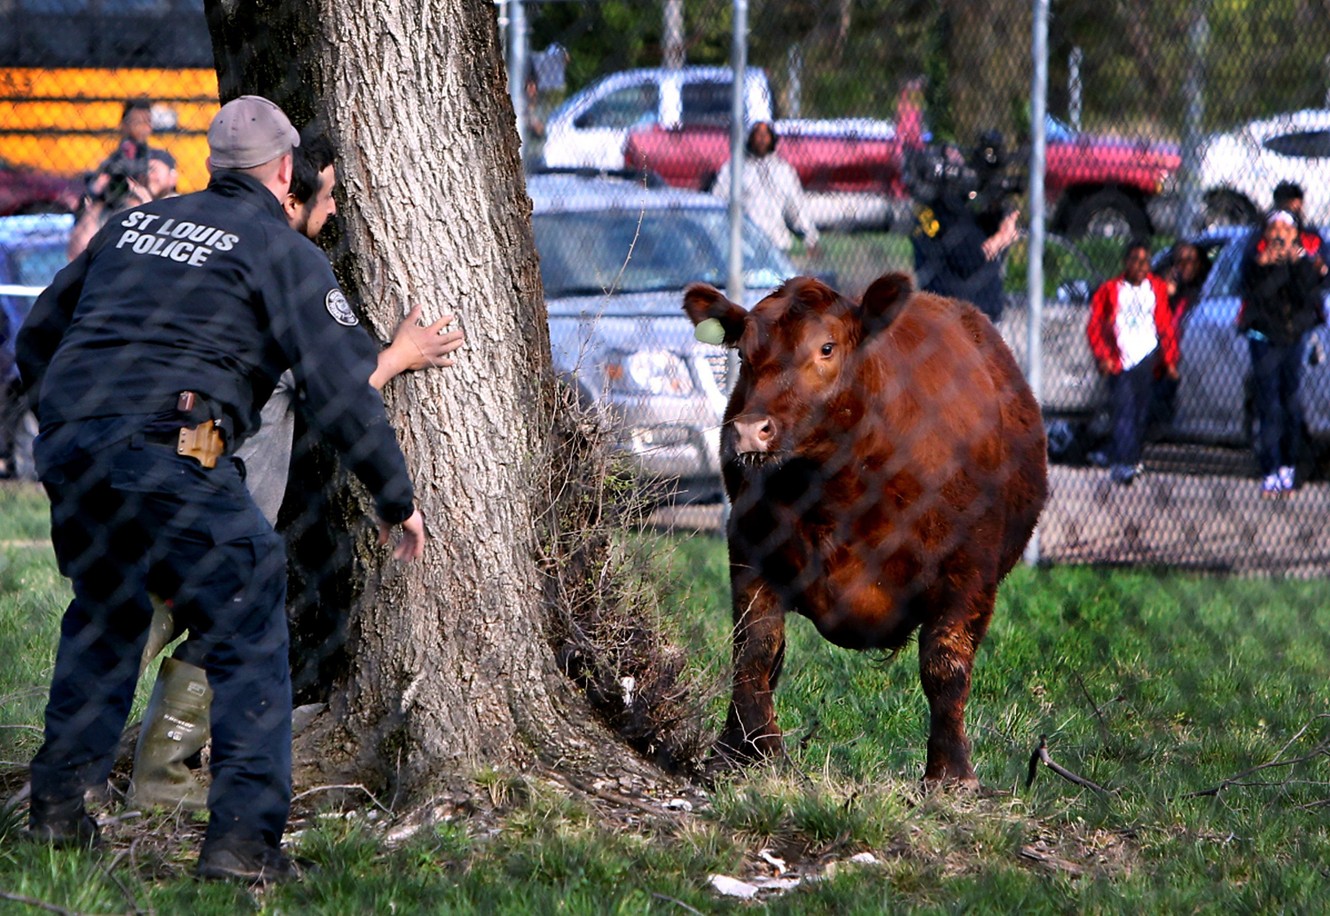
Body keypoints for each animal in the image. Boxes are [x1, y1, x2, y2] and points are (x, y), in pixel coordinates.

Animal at [683, 272, 1047, 787]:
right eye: (743, 353)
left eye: (827, 348)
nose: (752, 429)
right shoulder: (749, 544)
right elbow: (754, 650)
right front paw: (751, 754)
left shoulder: (969, 567)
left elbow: (945, 664)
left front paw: (951, 773)